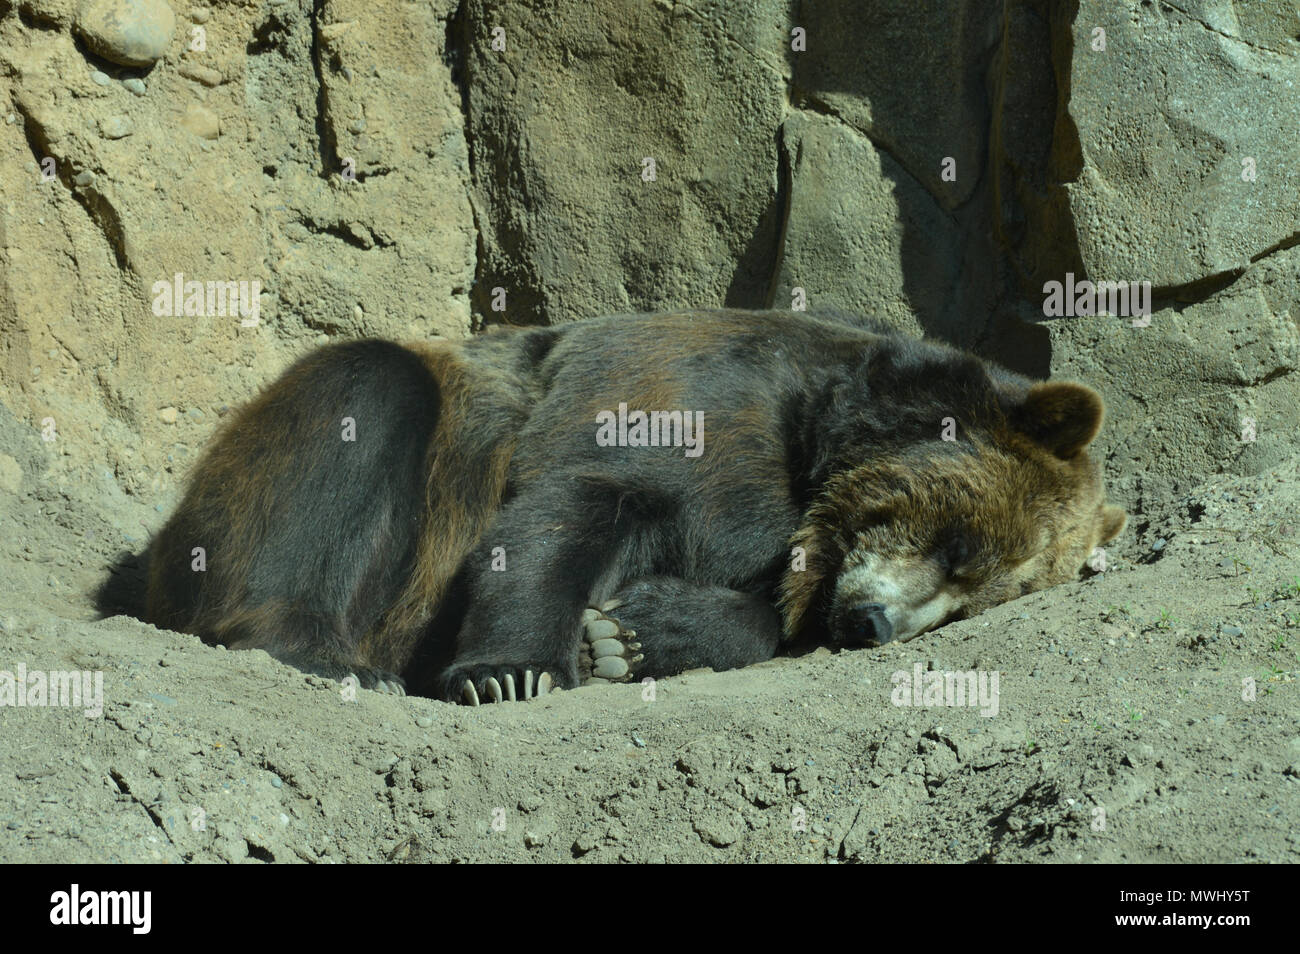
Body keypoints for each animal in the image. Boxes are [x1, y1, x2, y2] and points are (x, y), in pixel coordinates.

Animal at [144, 308, 1126, 704]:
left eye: (973, 602)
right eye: (962, 547)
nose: (876, 624)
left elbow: (748, 605)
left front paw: (636, 633)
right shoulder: (695, 404)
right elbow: (571, 507)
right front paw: (512, 669)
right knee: (365, 399)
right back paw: (321, 651)